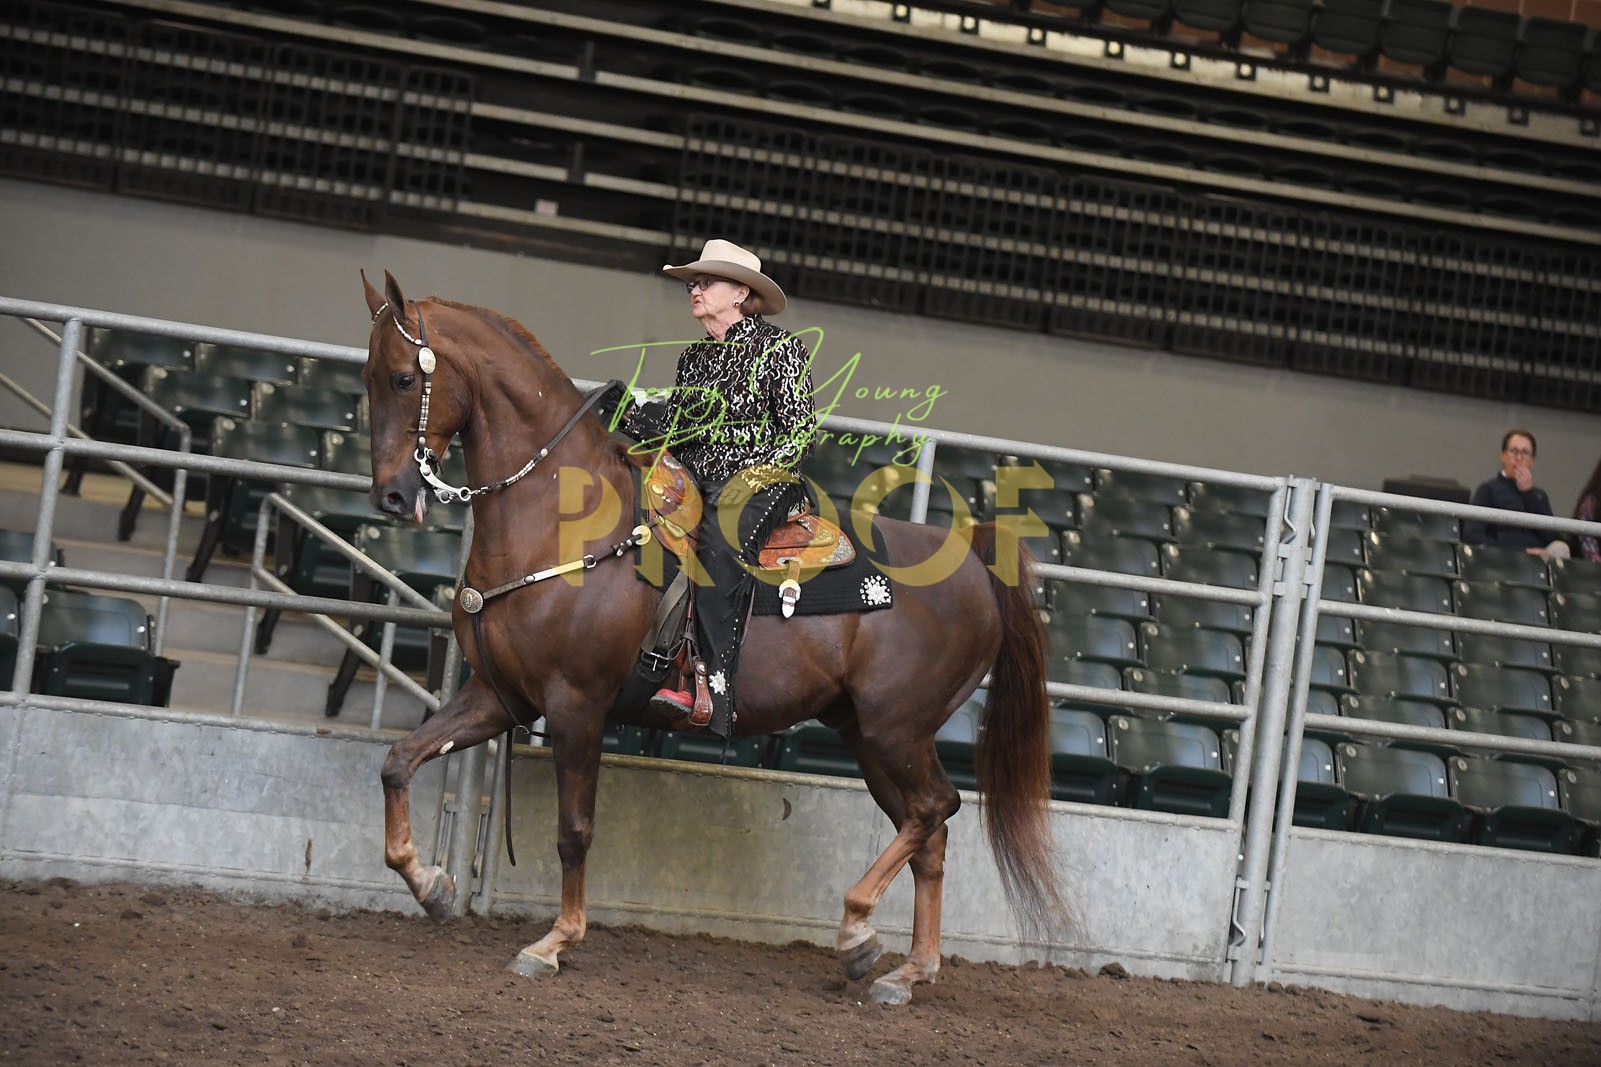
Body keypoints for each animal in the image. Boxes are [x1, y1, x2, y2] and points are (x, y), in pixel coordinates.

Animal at [359, 270, 1066, 1006]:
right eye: (367, 378)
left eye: (405, 378)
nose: (390, 496)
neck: (561, 520)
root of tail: (975, 561)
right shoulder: (500, 696)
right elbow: (399, 761)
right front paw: (432, 886)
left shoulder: (576, 704)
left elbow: (574, 830)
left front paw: (553, 942)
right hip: (869, 733)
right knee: (930, 828)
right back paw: (905, 970)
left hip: (896, 728)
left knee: (933, 808)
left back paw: (857, 930)